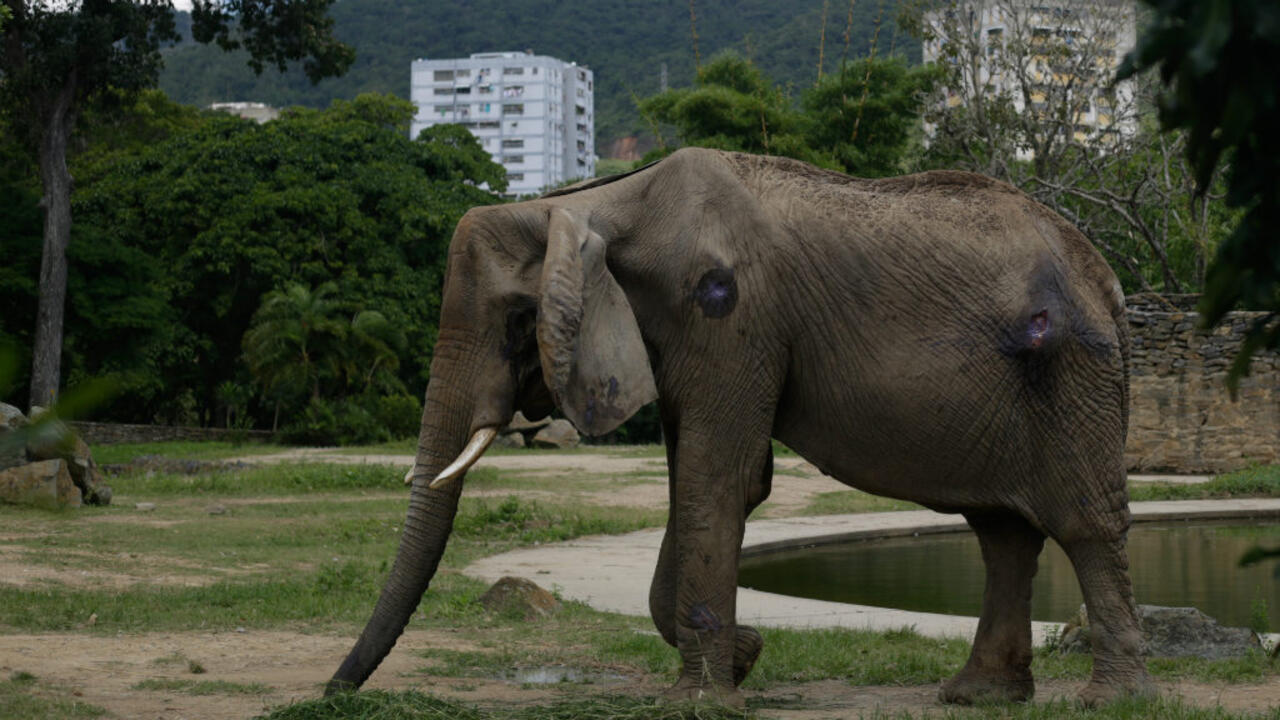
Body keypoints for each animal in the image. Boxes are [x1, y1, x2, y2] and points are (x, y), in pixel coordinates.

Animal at [326, 147, 1154, 707]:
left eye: (514, 323)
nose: (333, 695)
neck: (602, 202)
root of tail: (1110, 279)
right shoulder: (681, 331)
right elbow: (704, 477)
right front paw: (744, 659)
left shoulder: (728, 315)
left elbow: (717, 475)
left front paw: (702, 698)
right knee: (1000, 530)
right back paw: (975, 697)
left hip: (1072, 374)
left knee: (1082, 522)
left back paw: (1109, 699)